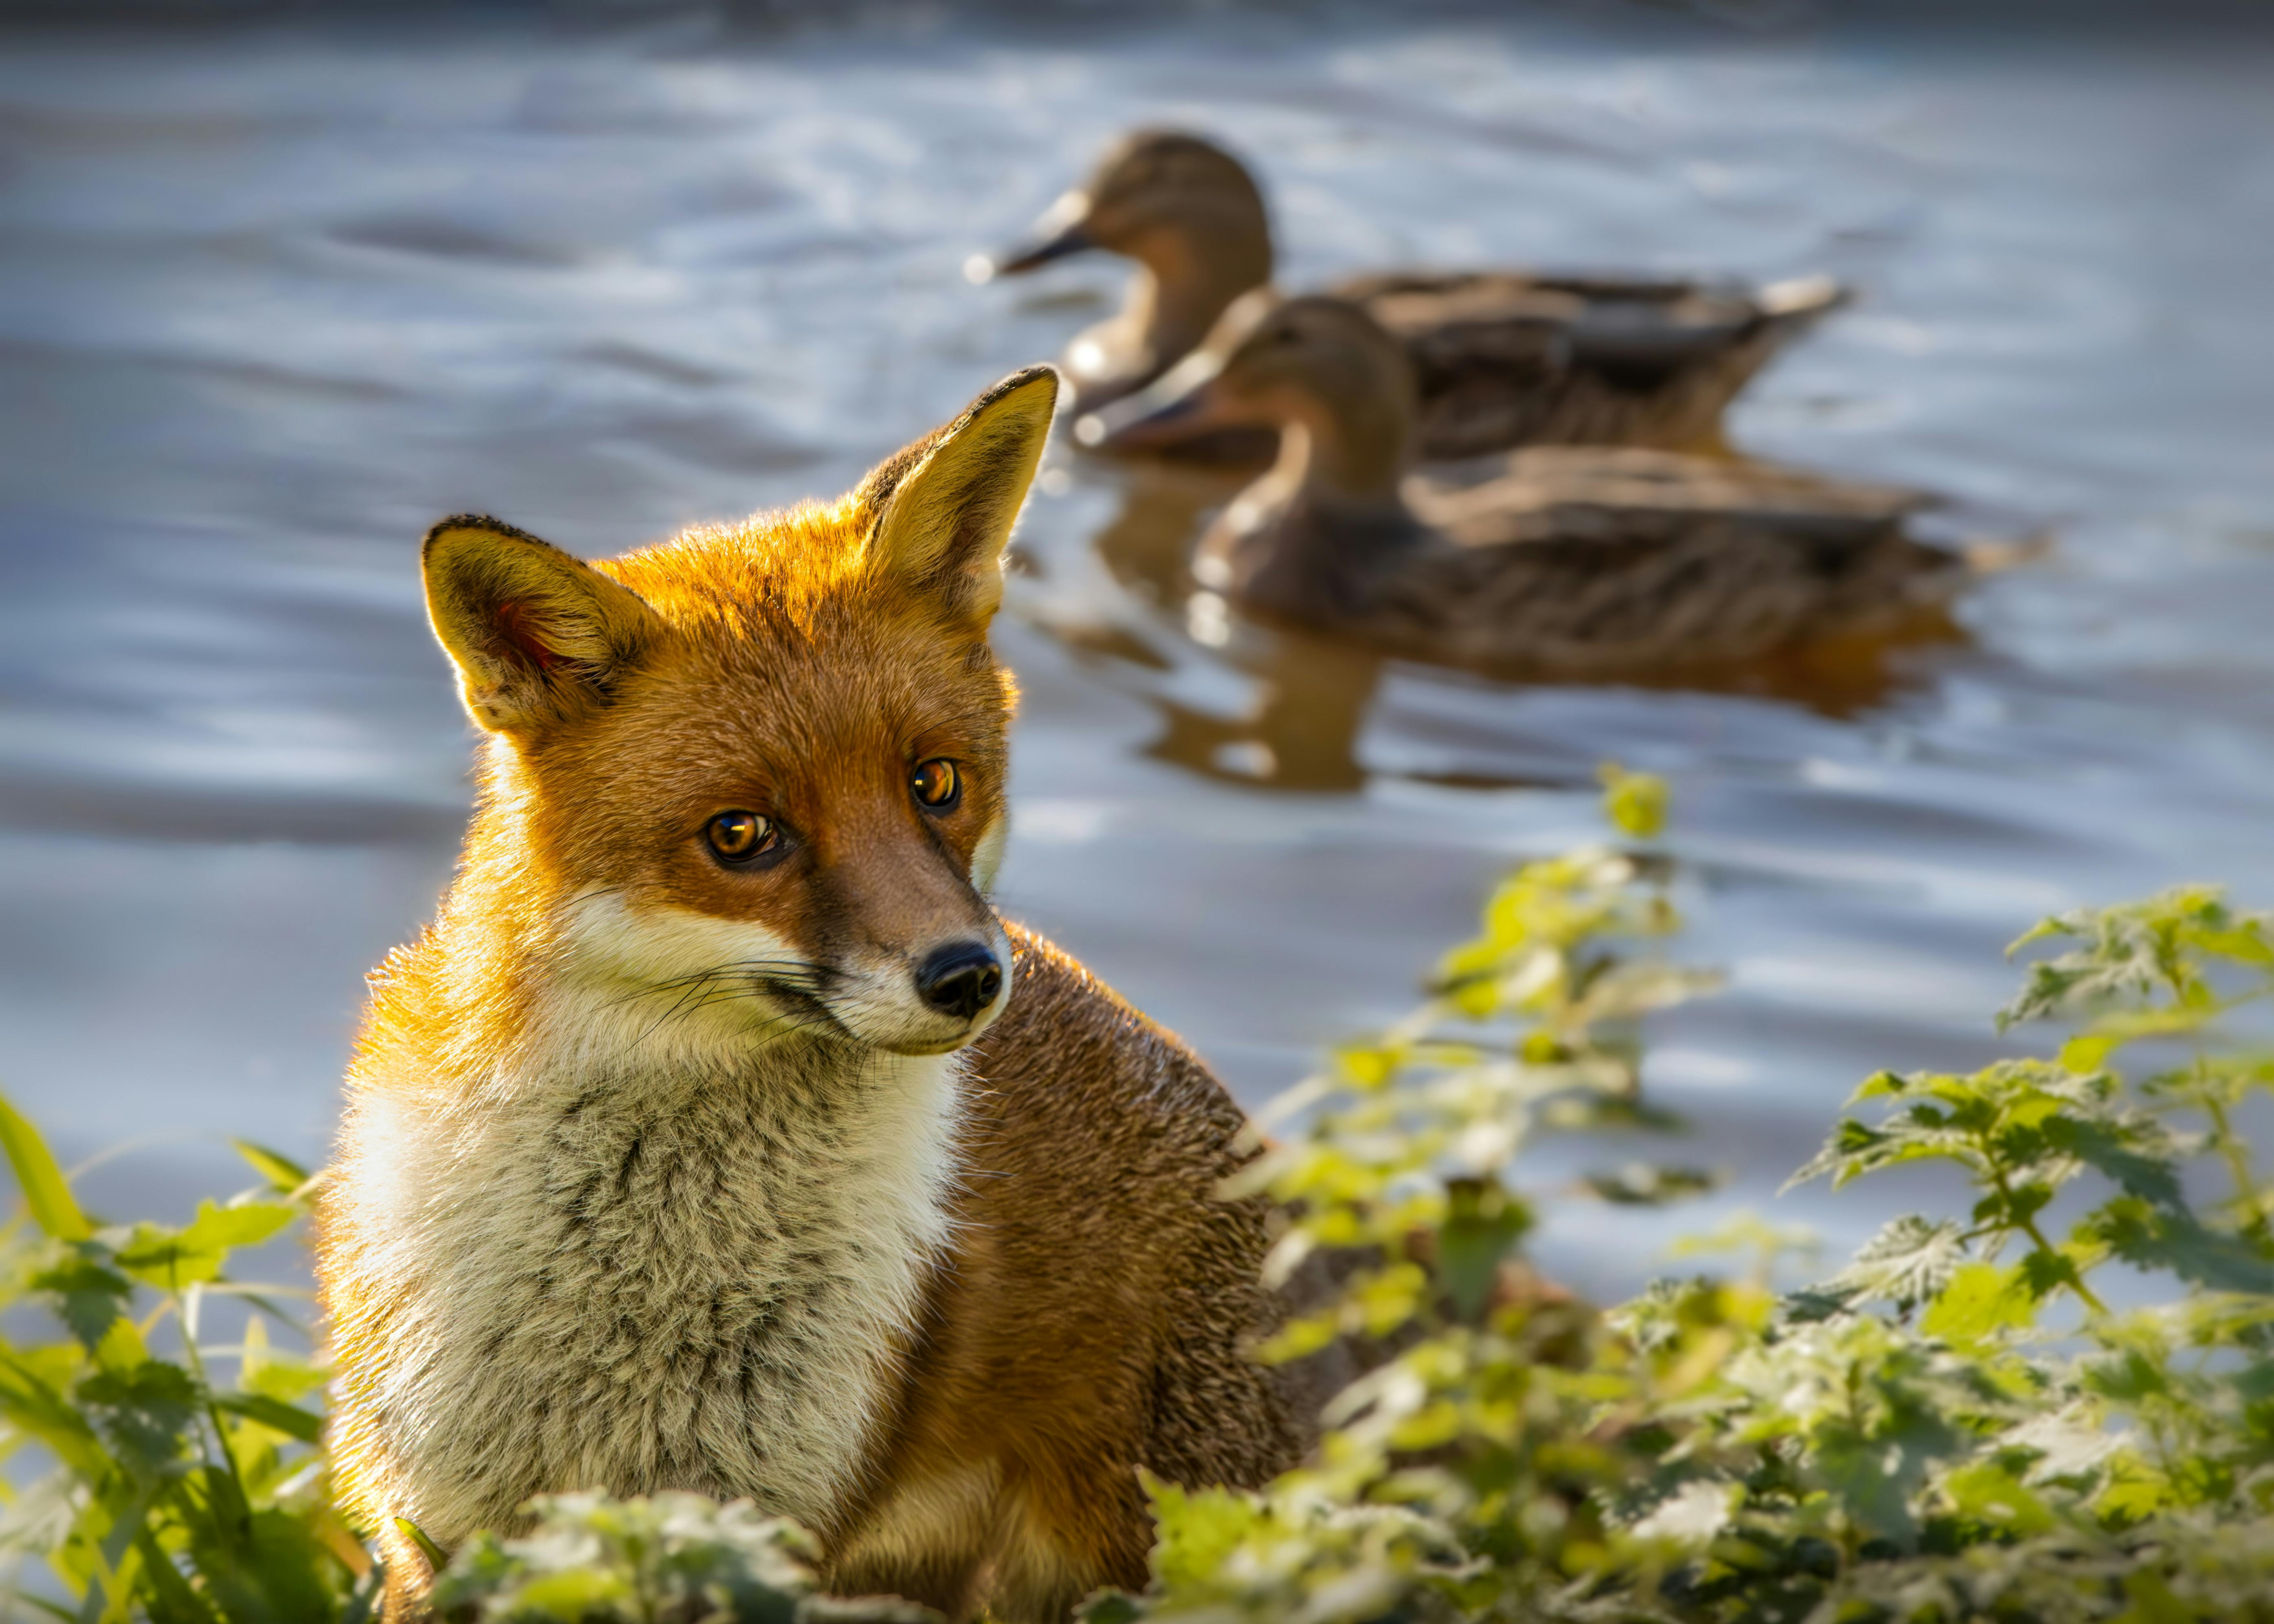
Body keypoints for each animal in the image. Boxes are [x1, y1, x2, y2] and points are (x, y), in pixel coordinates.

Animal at [315, 365, 1322, 1621]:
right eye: (742, 834)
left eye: (935, 782)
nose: (968, 975)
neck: (636, 1296)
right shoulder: (438, 1526)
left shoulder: (756, 1526)